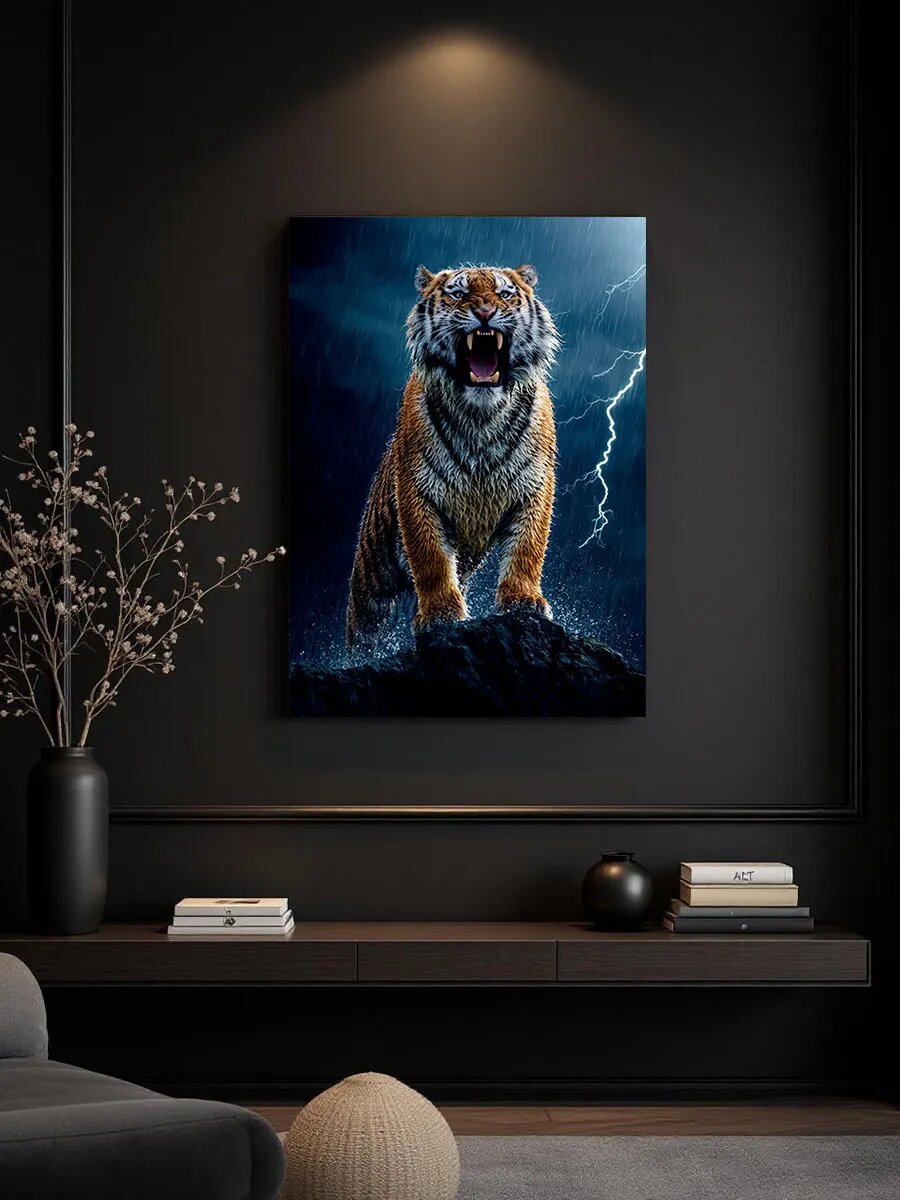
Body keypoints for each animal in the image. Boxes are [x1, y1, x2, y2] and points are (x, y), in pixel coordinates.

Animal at [346, 262, 560, 655]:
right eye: (459, 294)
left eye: (505, 294)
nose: (485, 312)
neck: (482, 415)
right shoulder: (417, 491)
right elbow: (430, 559)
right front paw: (441, 617)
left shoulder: (534, 487)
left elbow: (527, 550)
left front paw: (523, 603)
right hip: (372, 584)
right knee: (366, 631)